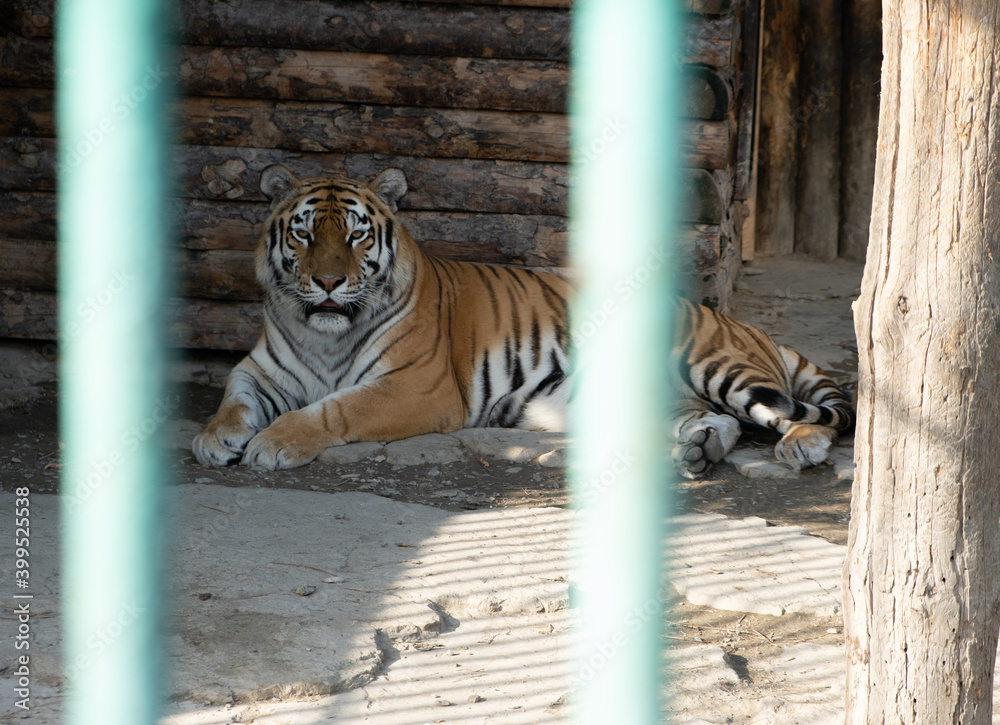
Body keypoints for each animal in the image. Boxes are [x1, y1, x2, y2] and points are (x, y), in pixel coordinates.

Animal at [192, 166, 571, 470]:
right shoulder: (260, 370)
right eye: (304, 235)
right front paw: (213, 438)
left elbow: (338, 408)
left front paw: (273, 442)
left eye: (356, 235)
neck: (325, 337)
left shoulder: (417, 383)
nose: (328, 281)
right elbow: (234, 400)